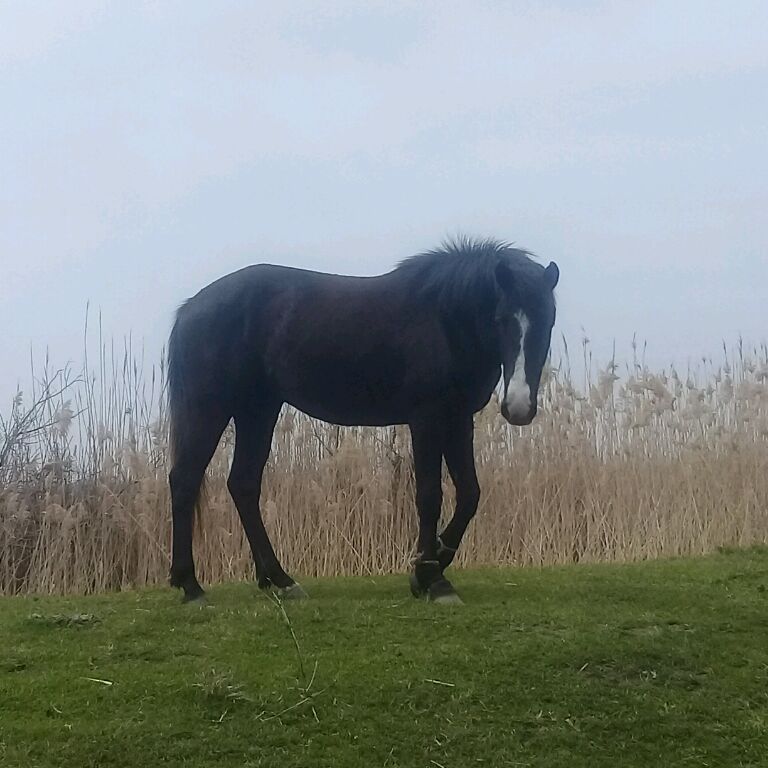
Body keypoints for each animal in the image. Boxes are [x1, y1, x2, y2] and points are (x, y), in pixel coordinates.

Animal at [167, 237, 559, 604]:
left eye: (547, 320)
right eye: (501, 319)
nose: (518, 407)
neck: (444, 318)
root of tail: (191, 308)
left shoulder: (458, 418)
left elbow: (469, 494)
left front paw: (430, 565)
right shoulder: (427, 418)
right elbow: (429, 495)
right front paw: (433, 578)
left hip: (257, 409)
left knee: (243, 485)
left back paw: (278, 579)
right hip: (210, 407)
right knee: (185, 480)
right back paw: (191, 586)